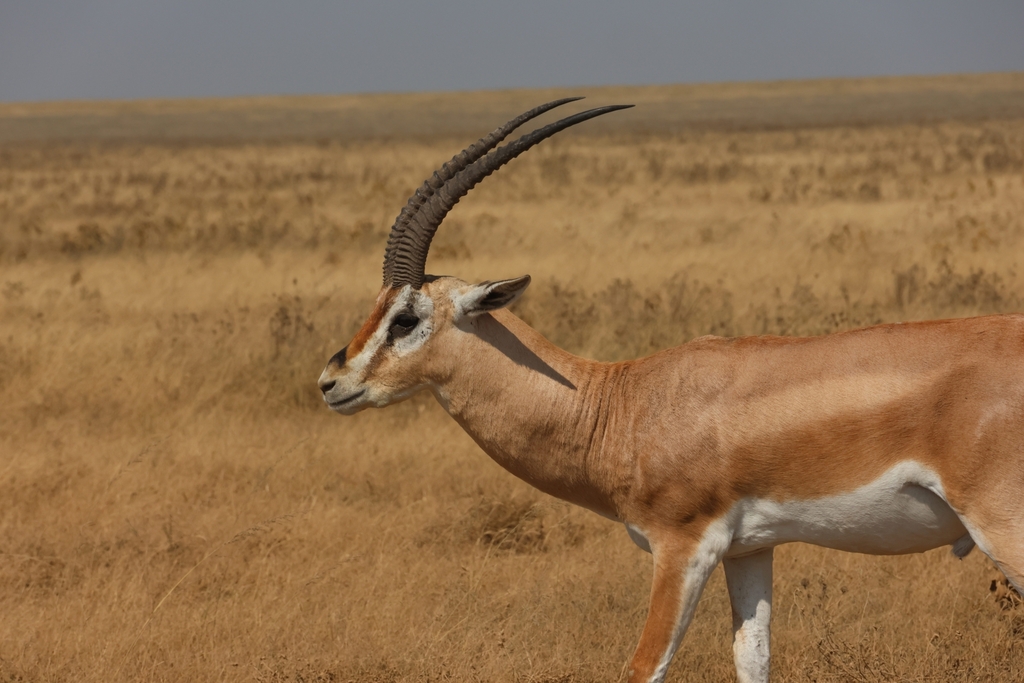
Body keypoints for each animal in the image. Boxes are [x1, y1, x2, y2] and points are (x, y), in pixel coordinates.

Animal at [317, 98, 1024, 683]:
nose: (332, 382)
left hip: (1003, 528)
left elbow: (644, 667)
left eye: (405, 317)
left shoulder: (682, 546)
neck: (621, 404)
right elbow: (752, 659)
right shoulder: (751, 550)